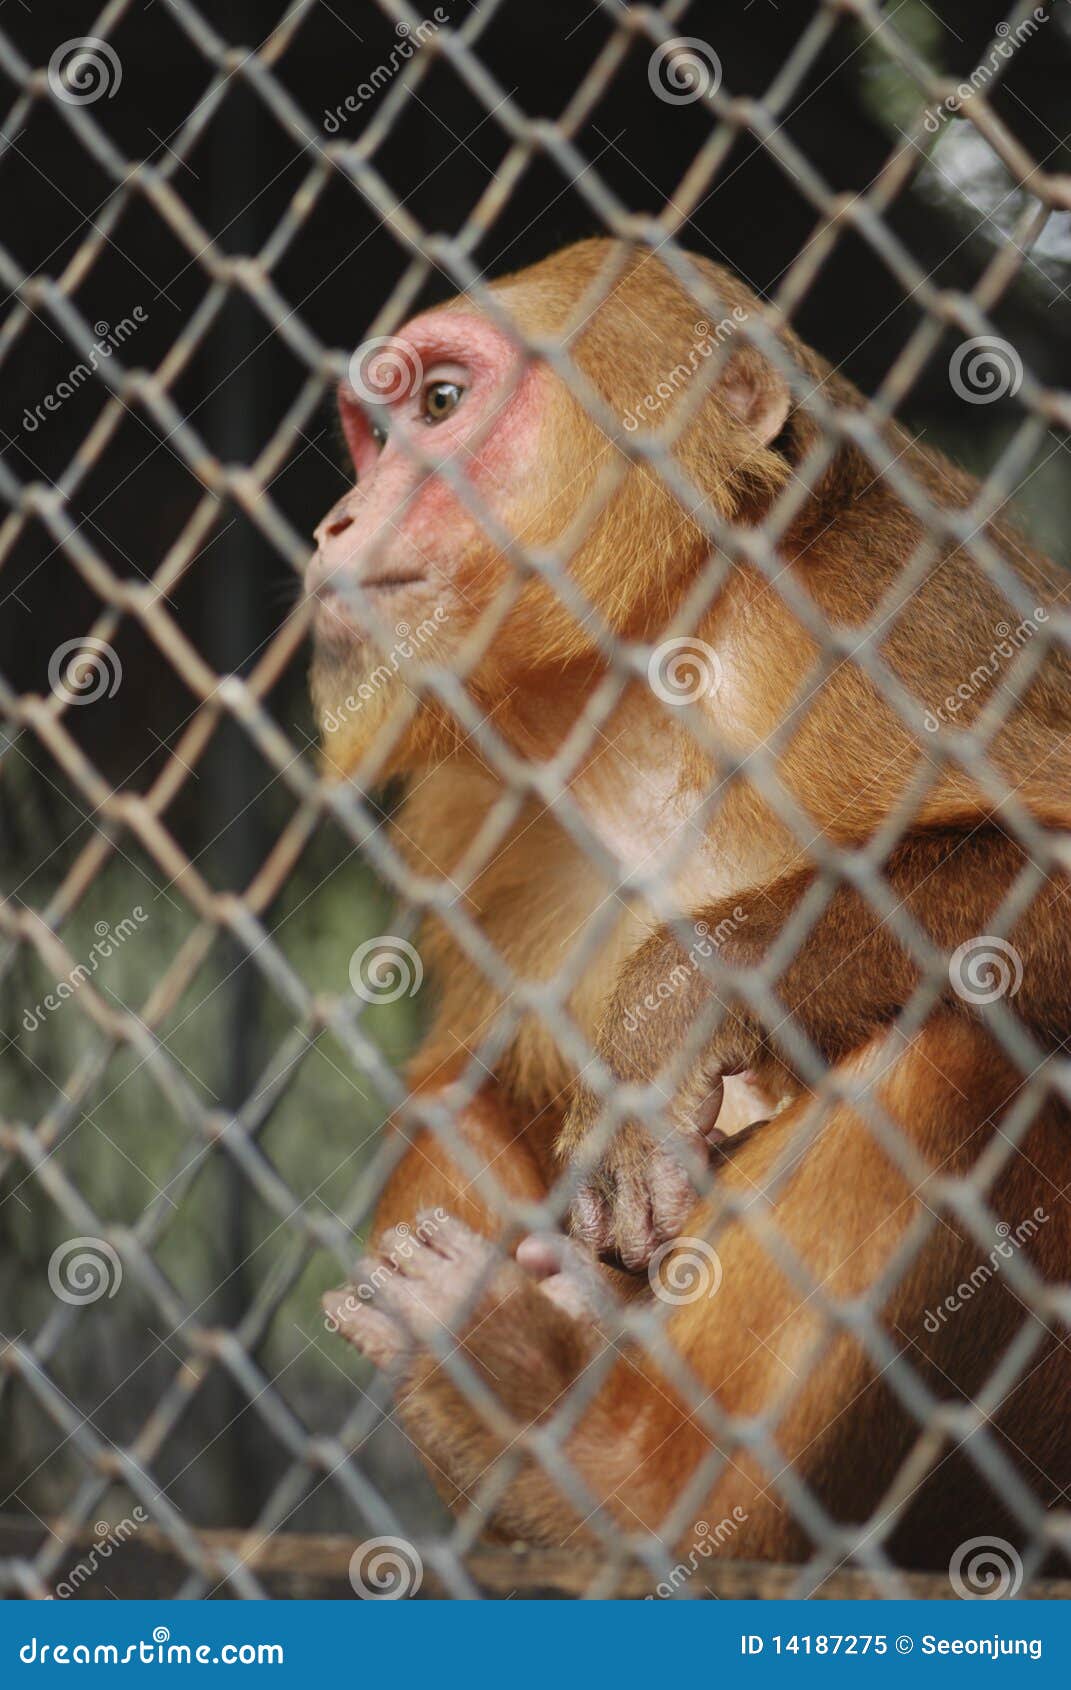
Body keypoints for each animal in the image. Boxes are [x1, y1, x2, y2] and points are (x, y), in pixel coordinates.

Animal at [311, 238, 1071, 1572]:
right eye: (376, 434)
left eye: (443, 405)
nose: (340, 517)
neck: (651, 666)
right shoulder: (479, 793)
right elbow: (472, 1063)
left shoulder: (904, 617)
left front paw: (681, 997)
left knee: (961, 1038)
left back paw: (627, 1476)